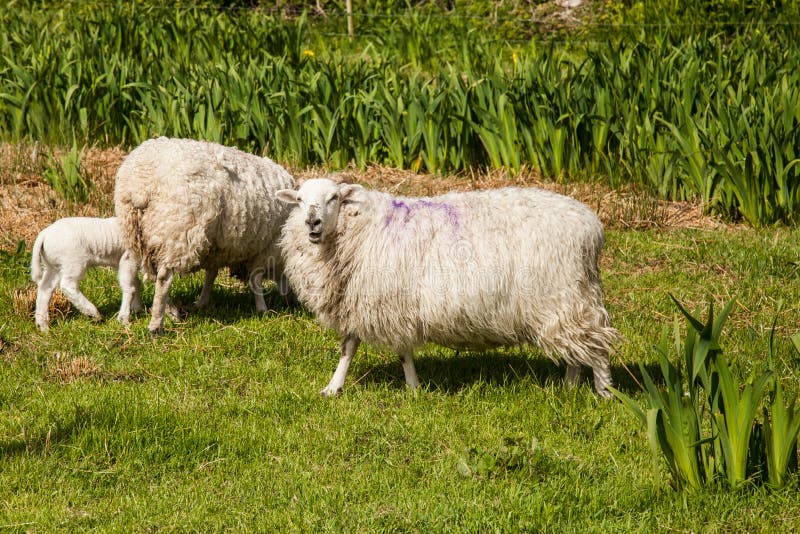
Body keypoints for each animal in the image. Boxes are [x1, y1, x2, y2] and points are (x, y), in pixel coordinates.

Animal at [114, 137, 295, 336]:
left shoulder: (216, 247)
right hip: (177, 234)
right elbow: (256, 280)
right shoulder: (264, 250)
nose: (290, 302)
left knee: (153, 276)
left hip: (138, 234)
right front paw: (262, 308)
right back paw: (156, 325)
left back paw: (172, 312)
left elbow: (211, 274)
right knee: (163, 280)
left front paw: (202, 301)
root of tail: (141, 185)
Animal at [276, 178, 619, 398]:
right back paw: (570, 389)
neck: (358, 227)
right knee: (577, 349)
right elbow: (349, 348)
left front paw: (413, 389)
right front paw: (333, 388)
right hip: (567, 303)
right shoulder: (362, 301)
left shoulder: (388, 302)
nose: (312, 223)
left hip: (568, 295)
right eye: (300, 200)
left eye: (334, 198)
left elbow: (401, 352)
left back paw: (605, 393)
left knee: (598, 346)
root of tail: (592, 226)